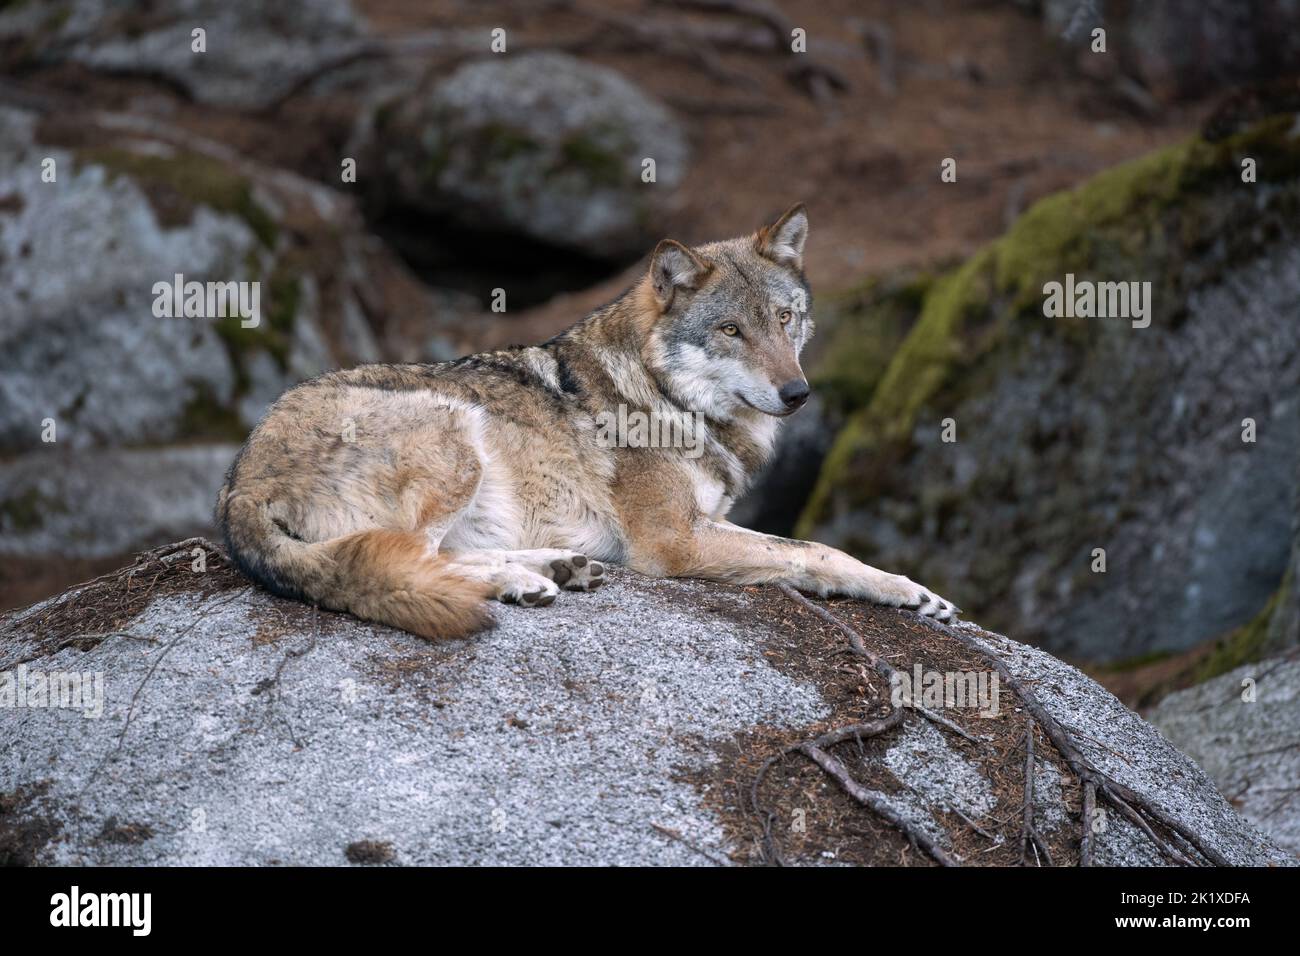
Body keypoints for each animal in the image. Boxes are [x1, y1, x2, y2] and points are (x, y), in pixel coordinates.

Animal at [217, 205, 958, 639]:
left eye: (784, 319)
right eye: (730, 331)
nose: (798, 393)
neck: (668, 396)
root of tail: (238, 484)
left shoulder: (703, 522)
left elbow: (808, 548)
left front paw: (916, 596)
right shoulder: (675, 542)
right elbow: (815, 551)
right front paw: (908, 589)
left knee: (425, 555)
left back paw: (556, 568)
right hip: (454, 430)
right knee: (410, 558)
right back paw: (518, 582)